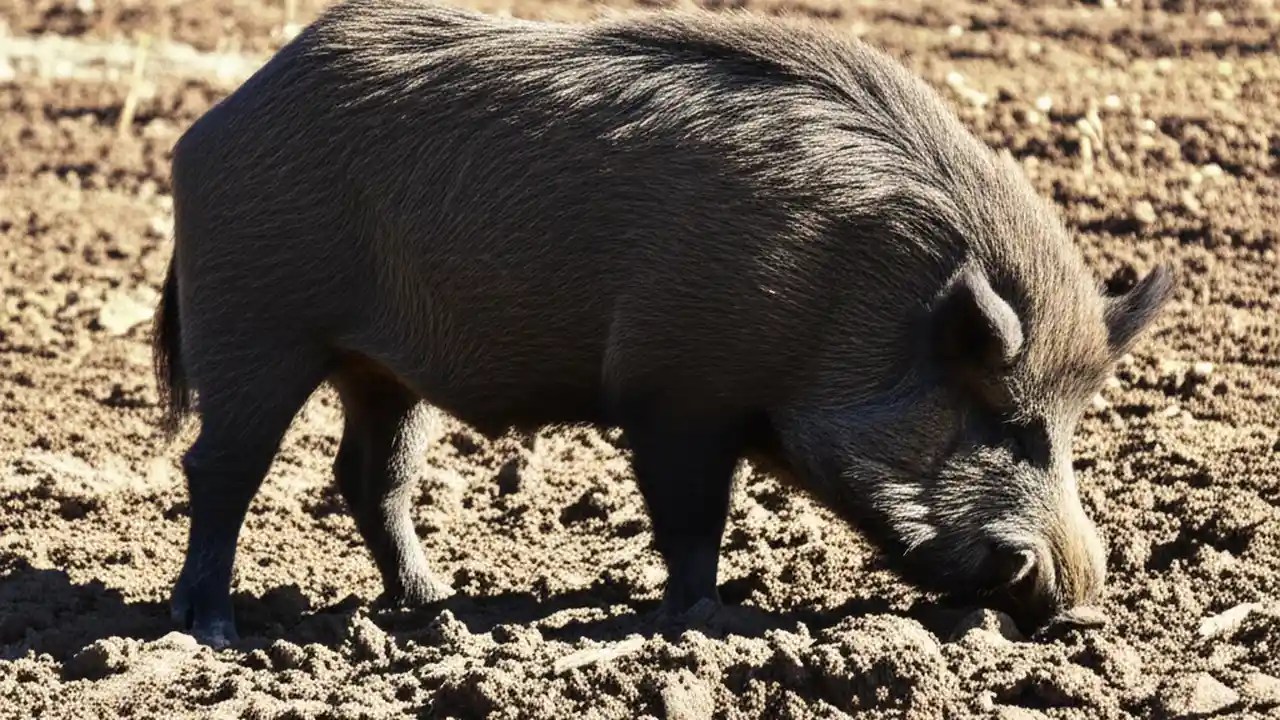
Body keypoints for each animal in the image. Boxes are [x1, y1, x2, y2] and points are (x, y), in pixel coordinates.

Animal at [153, 0, 1174, 646]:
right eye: (1005, 422)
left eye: (1069, 427)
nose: (1080, 603)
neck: (850, 298)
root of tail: (210, 126)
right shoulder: (675, 391)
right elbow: (692, 518)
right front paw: (704, 621)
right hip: (256, 324)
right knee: (220, 468)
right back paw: (214, 631)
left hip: (383, 369)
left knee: (371, 477)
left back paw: (434, 604)